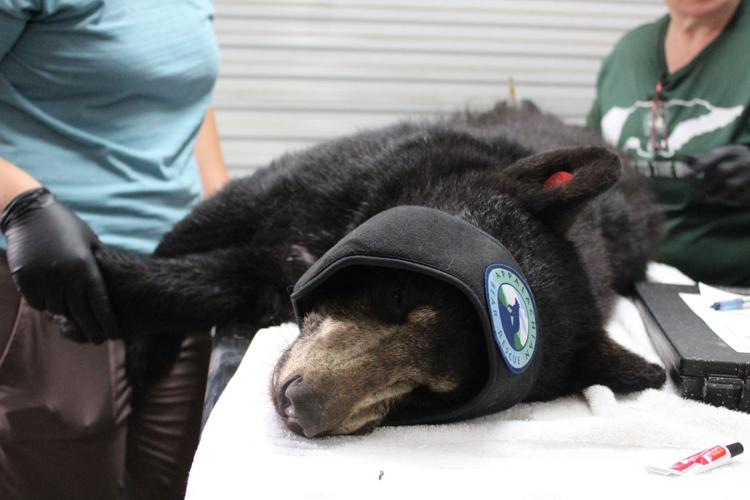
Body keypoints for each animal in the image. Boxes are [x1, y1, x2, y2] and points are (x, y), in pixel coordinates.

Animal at [70, 102, 667, 437]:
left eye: (432, 392)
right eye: (400, 290)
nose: (299, 406)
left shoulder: (269, 285)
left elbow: (214, 284)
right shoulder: (323, 179)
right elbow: (193, 232)